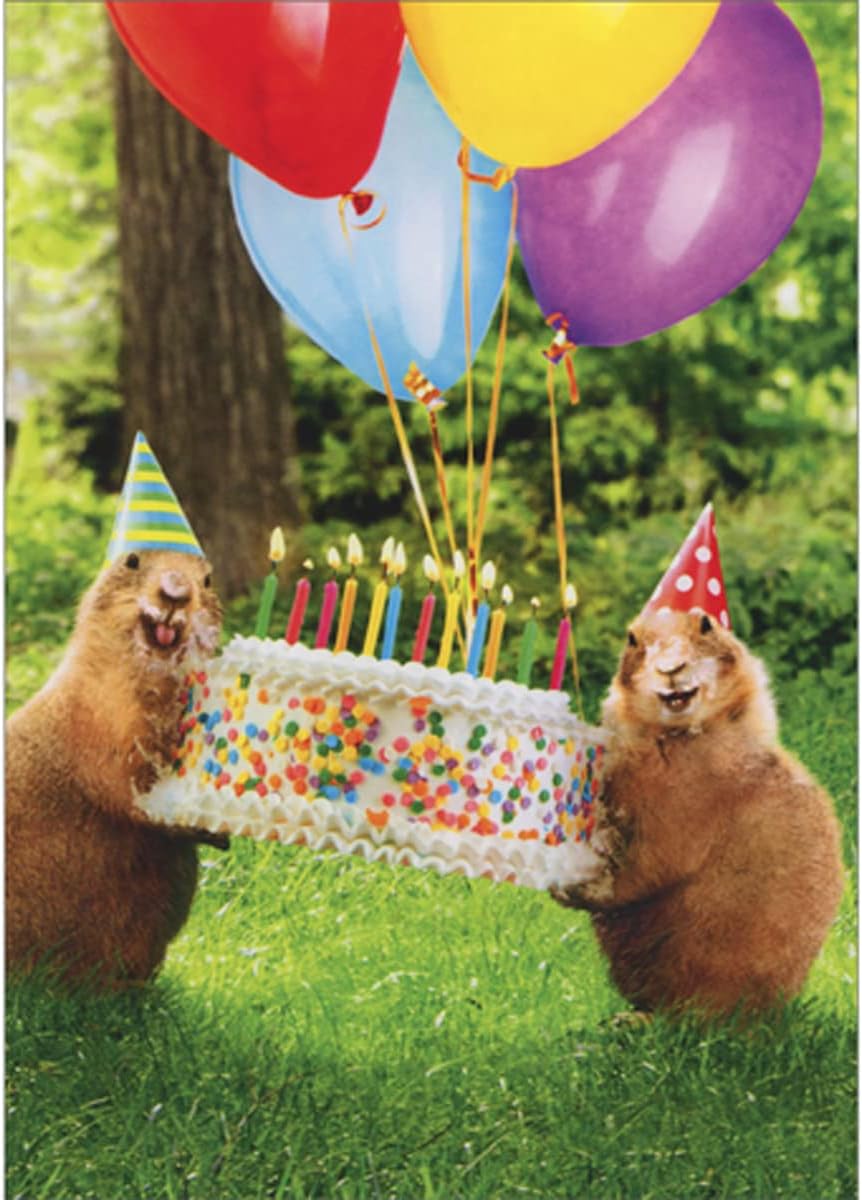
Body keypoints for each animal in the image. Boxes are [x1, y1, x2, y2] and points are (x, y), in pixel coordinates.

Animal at [552, 608, 844, 1019]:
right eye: (632, 638)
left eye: (705, 624)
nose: (670, 668)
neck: (684, 735)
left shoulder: (685, 812)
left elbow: (645, 867)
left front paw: (568, 890)